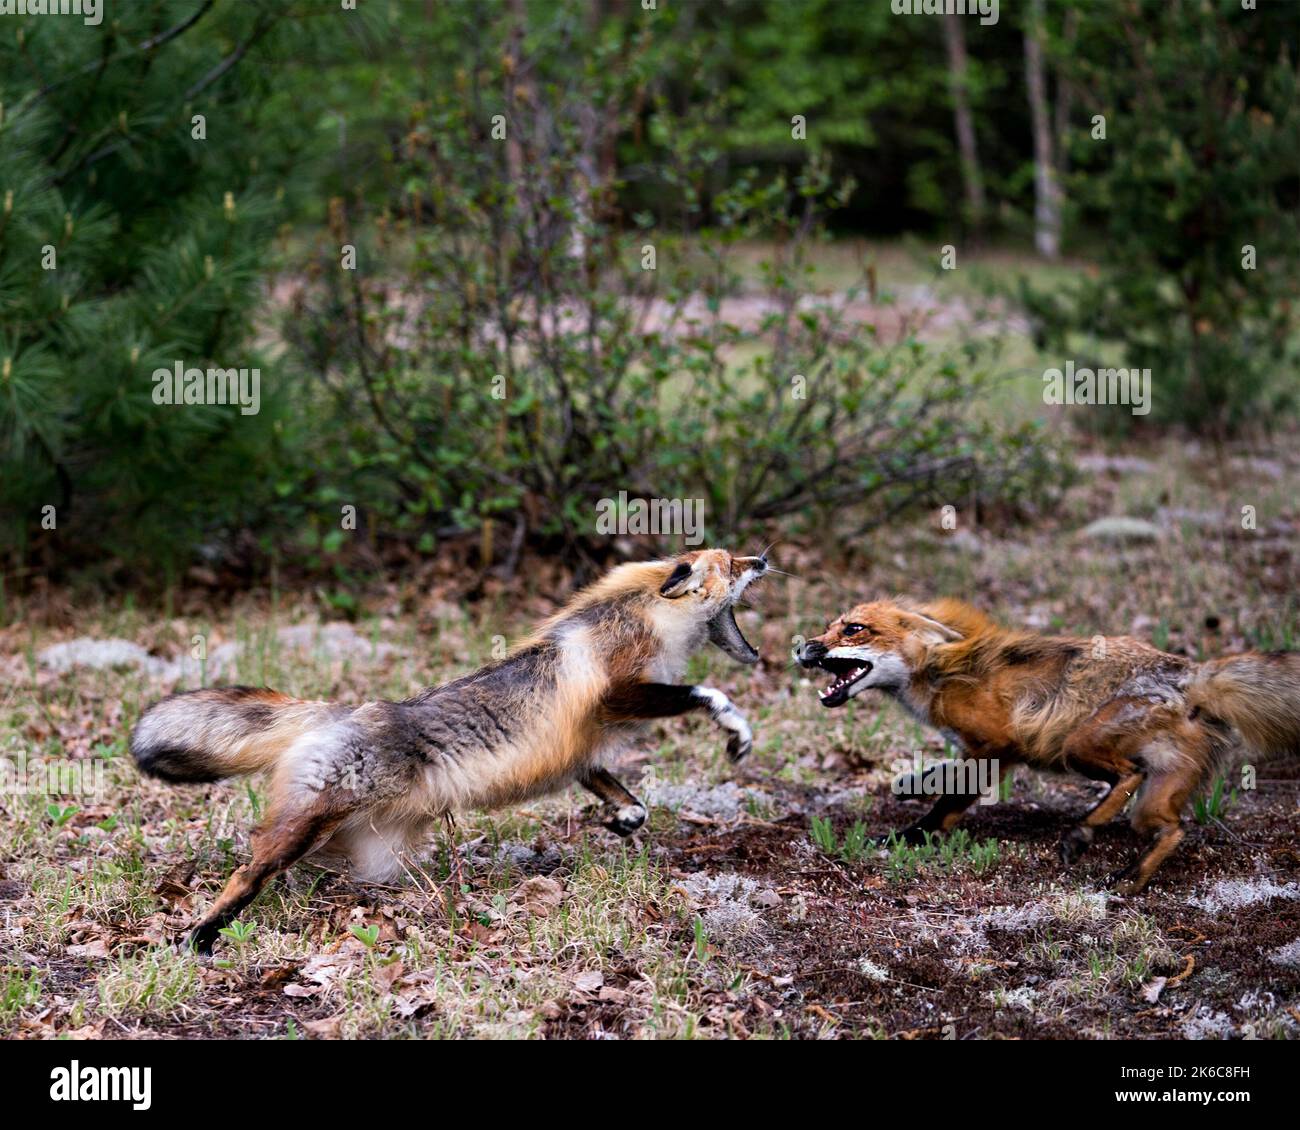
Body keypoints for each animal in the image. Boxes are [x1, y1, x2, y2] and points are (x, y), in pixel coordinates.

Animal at [131, 548, 768, 951]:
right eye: (731, 562)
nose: (762, 560)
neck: (644, 622)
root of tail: (345, 709)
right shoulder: (613, 698)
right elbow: (706, 692)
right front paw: (735, 726)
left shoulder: (581, 752)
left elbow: (622, 793)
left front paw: (625, 817)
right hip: (311, 824)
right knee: (247, 870)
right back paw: (200, 936)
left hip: (367, 848)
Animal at [796, 598, 1300, 893]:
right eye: (829, 627)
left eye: (854, 629)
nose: (802, 648)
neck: (939, 668)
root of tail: (1192, 674)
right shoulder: (983, 753)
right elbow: (939, 784)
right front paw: (912, 793)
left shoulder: (996, 745)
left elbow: (948, 804)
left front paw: (909, 837)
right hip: (1156, 798)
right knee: (1172, 829)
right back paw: (1131, 879)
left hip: (1082, 744)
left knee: (1127, 776)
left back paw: (1083, 831)